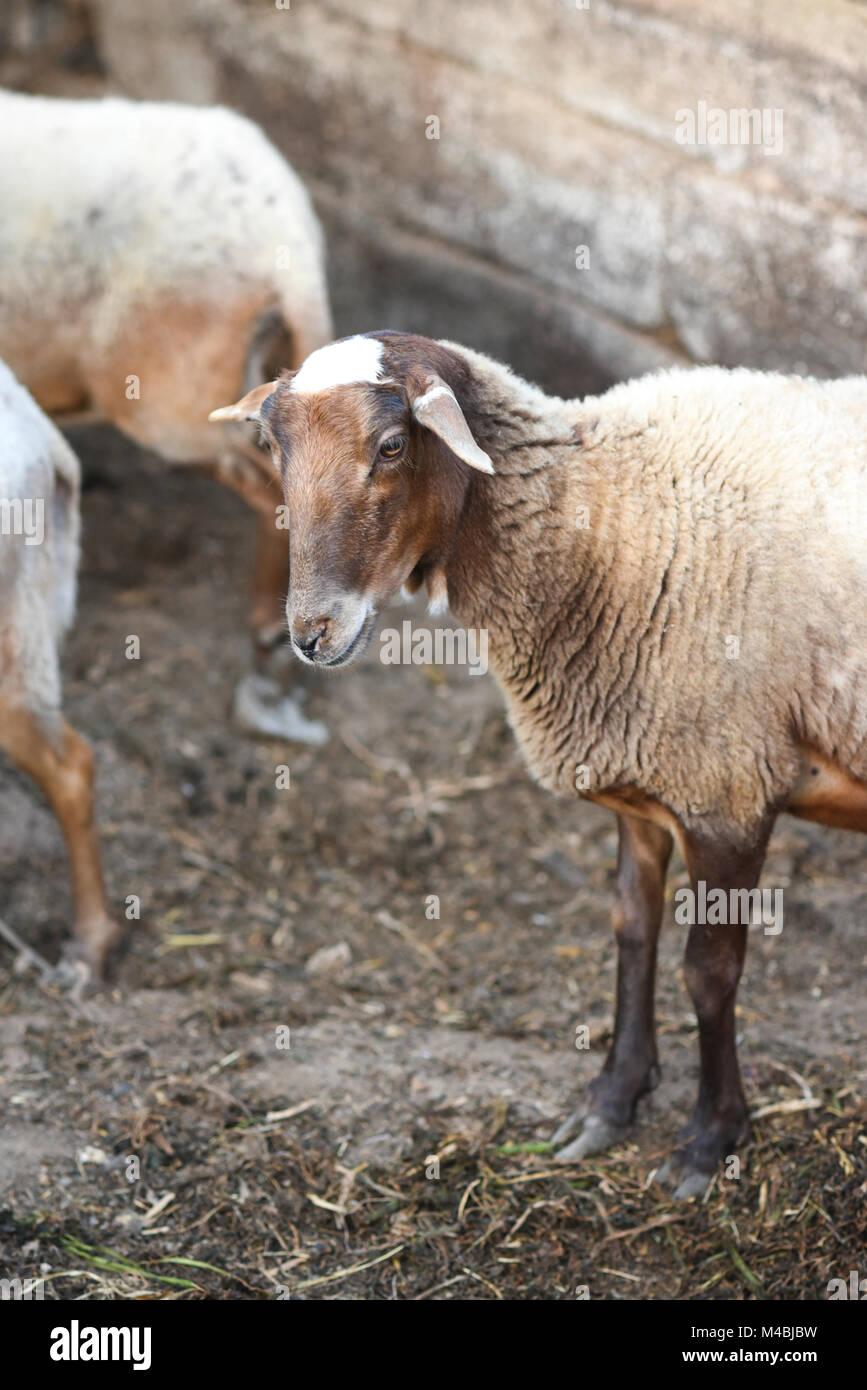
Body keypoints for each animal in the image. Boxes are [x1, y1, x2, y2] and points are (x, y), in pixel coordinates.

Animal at [210, 331, 867, 1195]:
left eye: (391, 447)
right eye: (273, 448)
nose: (311, 634)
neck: (600, 511)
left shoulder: (726, 785)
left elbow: (708, 973)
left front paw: (708, 1139)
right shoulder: (646, 778)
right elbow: (631, 933)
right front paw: (610, 1103)